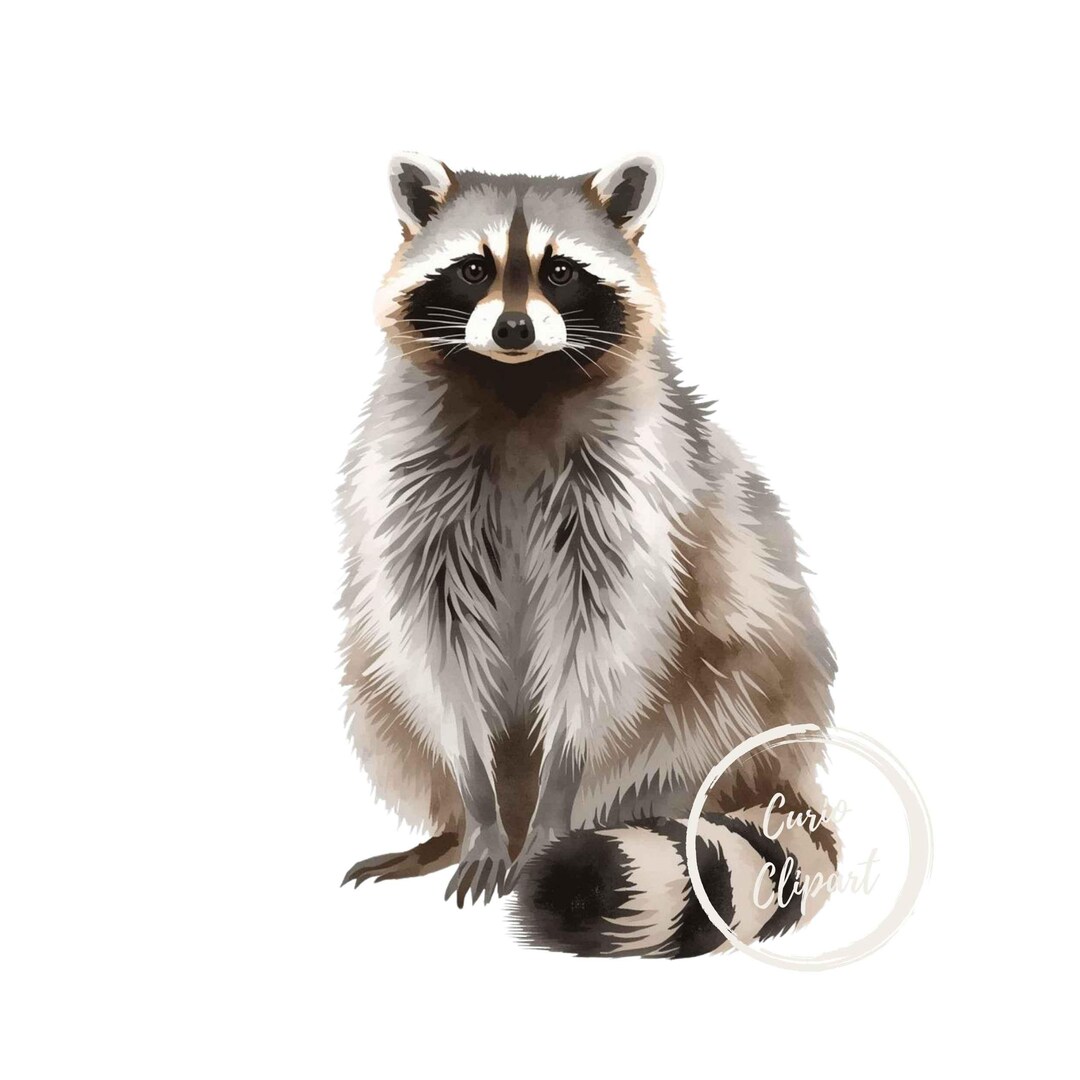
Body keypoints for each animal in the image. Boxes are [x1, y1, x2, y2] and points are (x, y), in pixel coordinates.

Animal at [337, 153, 839, 957]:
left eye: (562, 271)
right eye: (473, 268)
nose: (513, 327)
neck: (516, 381)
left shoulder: (630, 489)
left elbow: (598, 647)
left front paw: (557, 800)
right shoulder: (414, 493)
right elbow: (439, 650)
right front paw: (474, 808)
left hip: (732, 695)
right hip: (379, 701)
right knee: (386, 694)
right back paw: (453, 831)